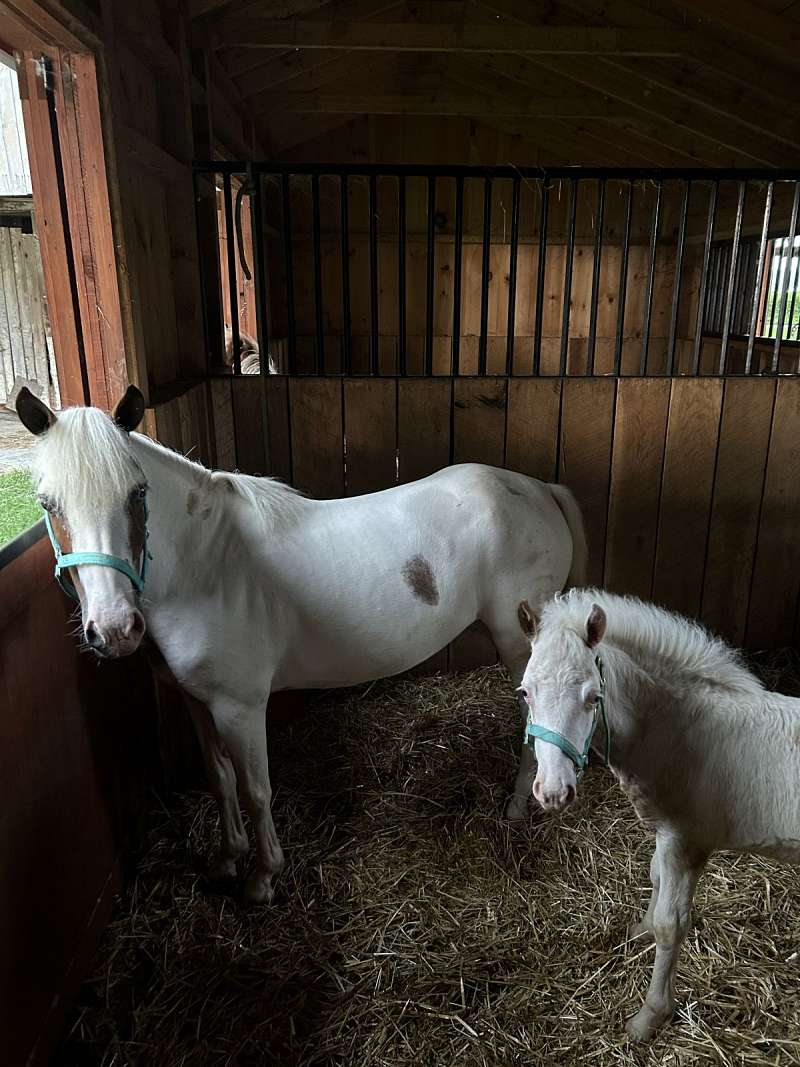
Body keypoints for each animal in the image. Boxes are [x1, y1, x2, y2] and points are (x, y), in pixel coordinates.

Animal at [16, 384, 587, 905]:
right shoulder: (198, 703)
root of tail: (539, 489)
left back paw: (518, 805)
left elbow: (256, 790)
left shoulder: (240, 707)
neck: (208, 567)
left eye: (137, 494)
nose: (114, 629)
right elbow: (220, 779)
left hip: (521, 645)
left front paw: (262, 877)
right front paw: (226, 859)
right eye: (47, 503)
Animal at [516, 588, 800, 1041]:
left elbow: (673, 924)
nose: (554, 792)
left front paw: (649, 1017)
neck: (681, 730)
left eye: (593, 697)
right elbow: (654, 876)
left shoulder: (686, 840)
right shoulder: (666, 832)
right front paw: (640, 930)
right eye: (525, 693)